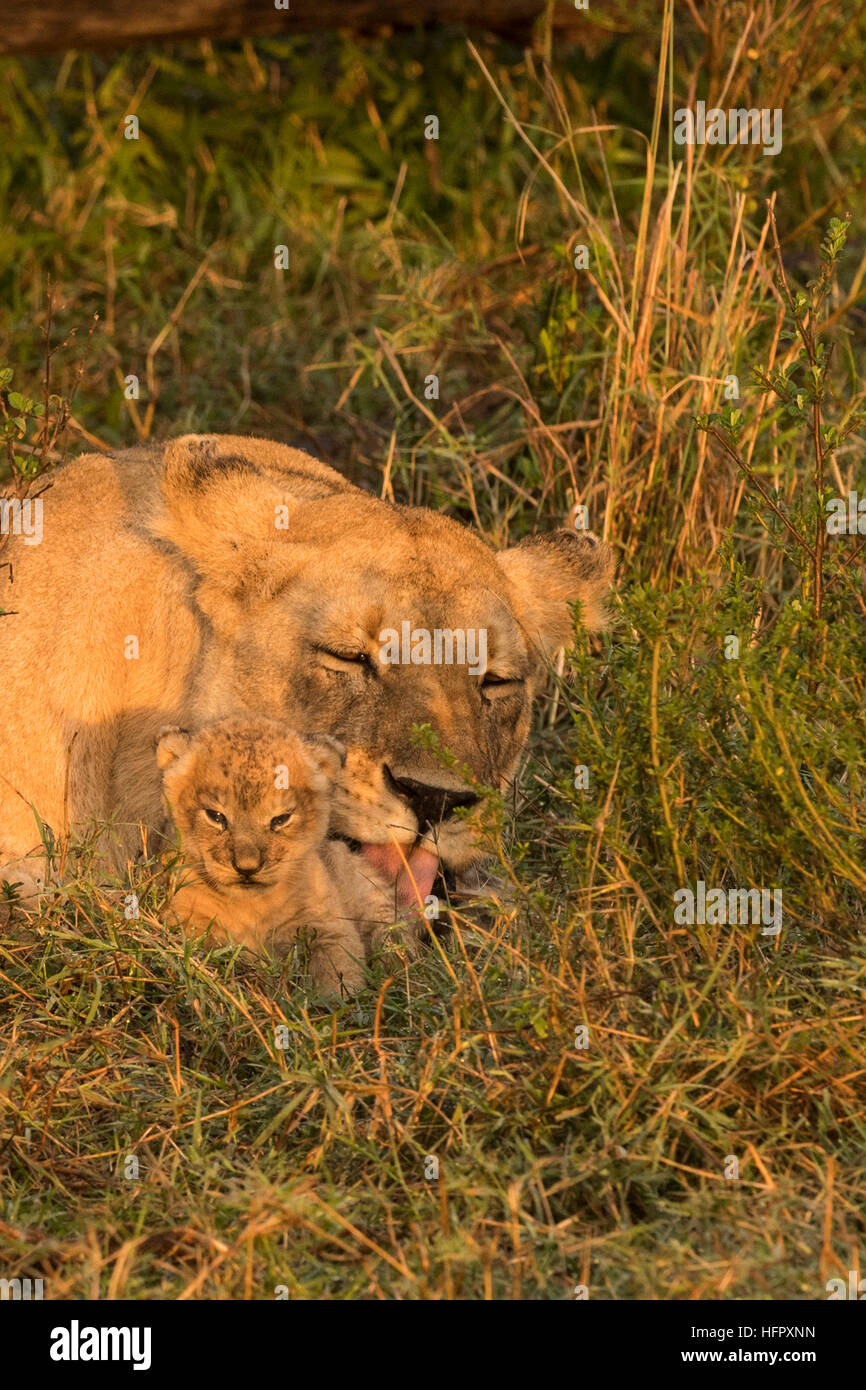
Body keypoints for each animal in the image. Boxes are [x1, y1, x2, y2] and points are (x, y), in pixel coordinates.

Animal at [157, 717, 392, 994]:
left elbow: (336, 974)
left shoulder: (330, 929)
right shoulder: (182, 918)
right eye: (215, 816)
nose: (247, 868)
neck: (250, 907)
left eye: (281, 819)